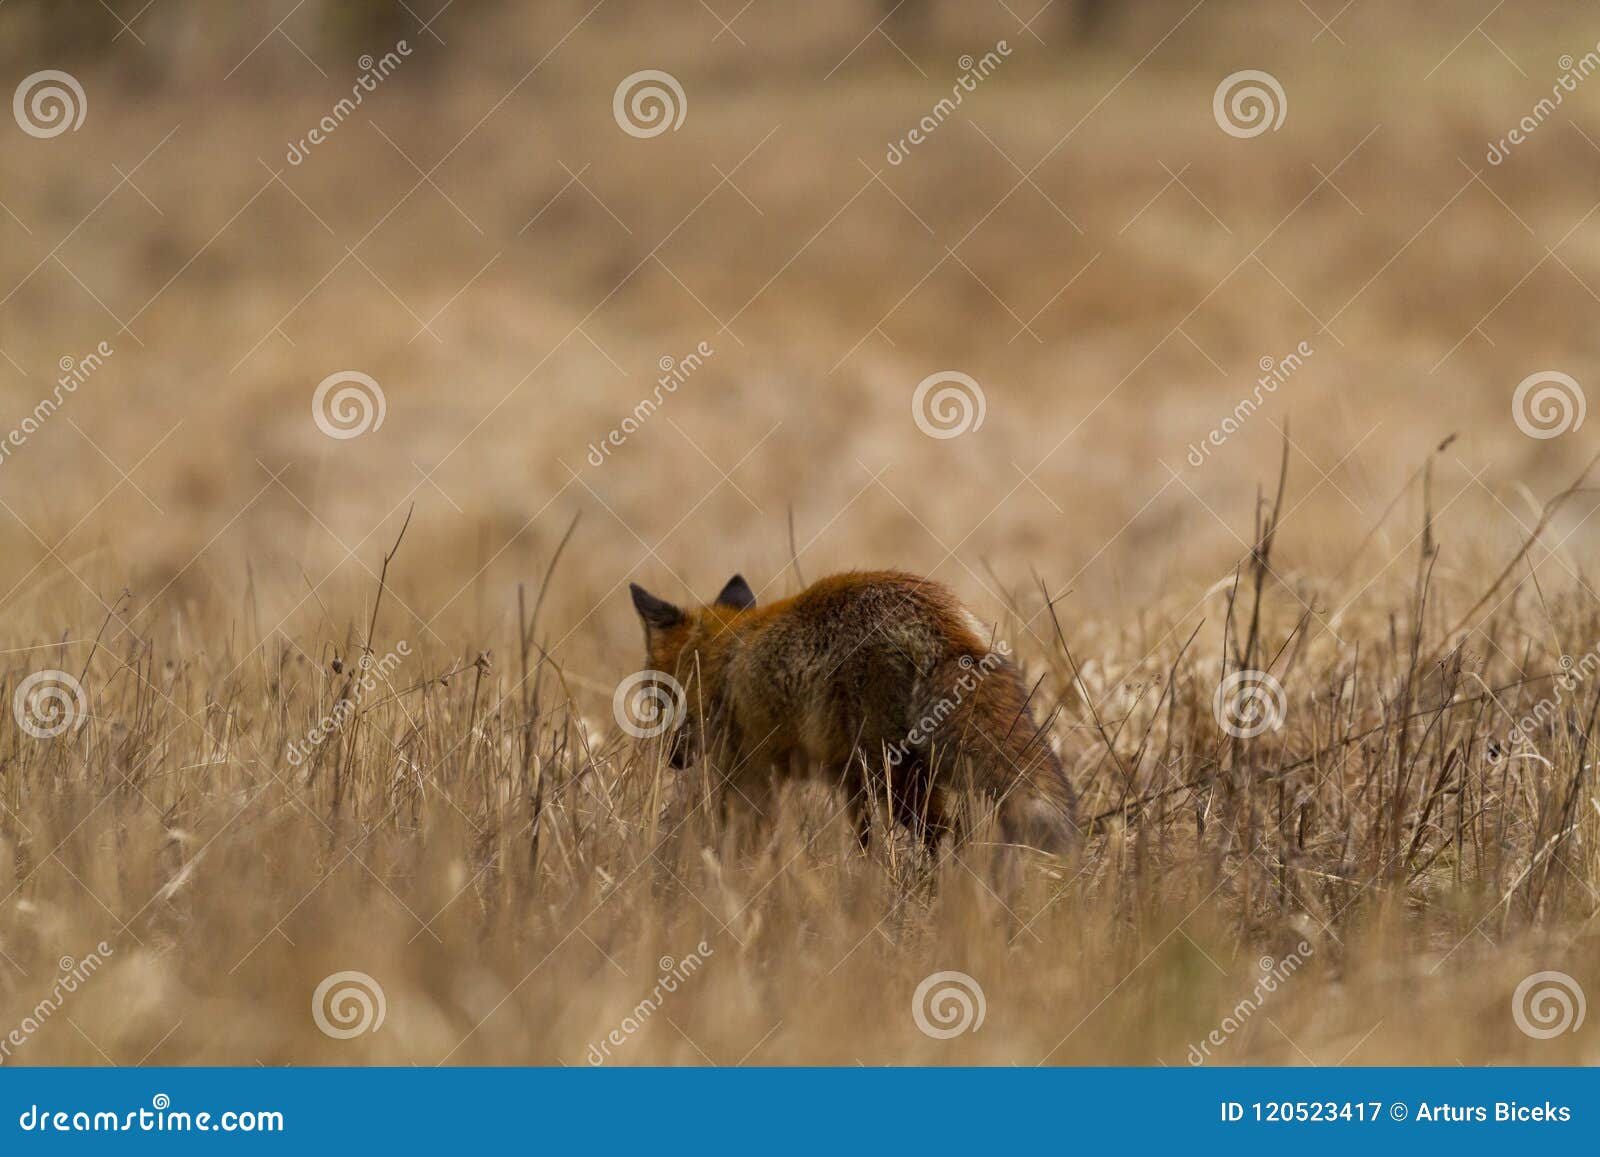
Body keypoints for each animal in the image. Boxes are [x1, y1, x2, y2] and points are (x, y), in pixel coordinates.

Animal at [627, 569, 1078, 856]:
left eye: (656, 701)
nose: (673, 760)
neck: (726, 659)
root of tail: (941, 622)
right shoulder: (847, 783)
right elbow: (864, 845)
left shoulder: (749, 776)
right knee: (957, 835)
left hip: (896, 781)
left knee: (943, 834)